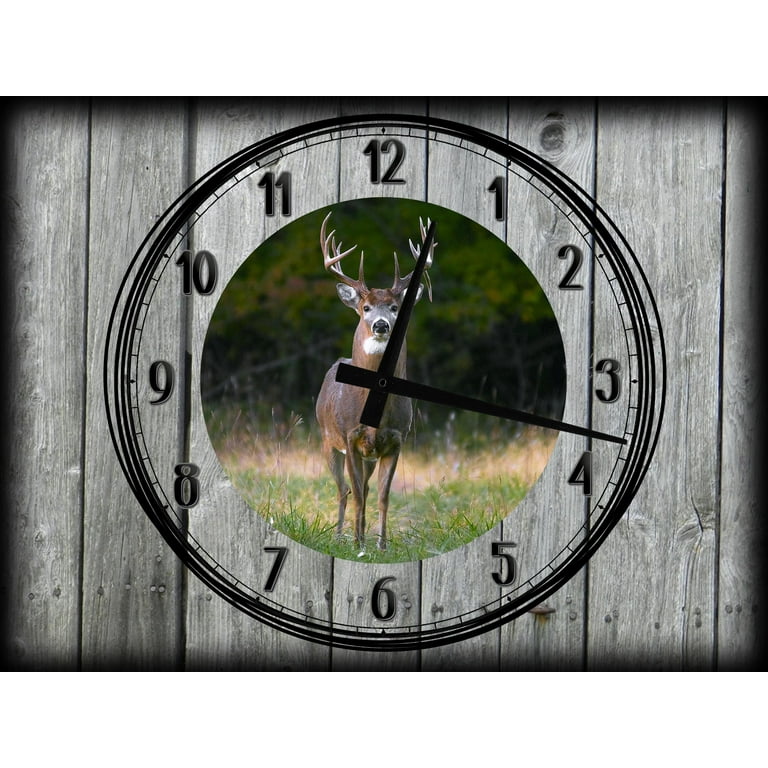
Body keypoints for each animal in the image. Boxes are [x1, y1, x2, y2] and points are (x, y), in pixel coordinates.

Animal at [315, 212, 435, 550]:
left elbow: (383, 496)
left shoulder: (397, 440)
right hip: (327, 441)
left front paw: (381, 544)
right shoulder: (350, 437)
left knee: (365, 489)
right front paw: (358, 545)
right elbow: (356, 494)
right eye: (366, 307)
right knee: (343, 490)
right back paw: (341, 536)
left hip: (368, 455)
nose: (381, 325)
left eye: (395, 308)